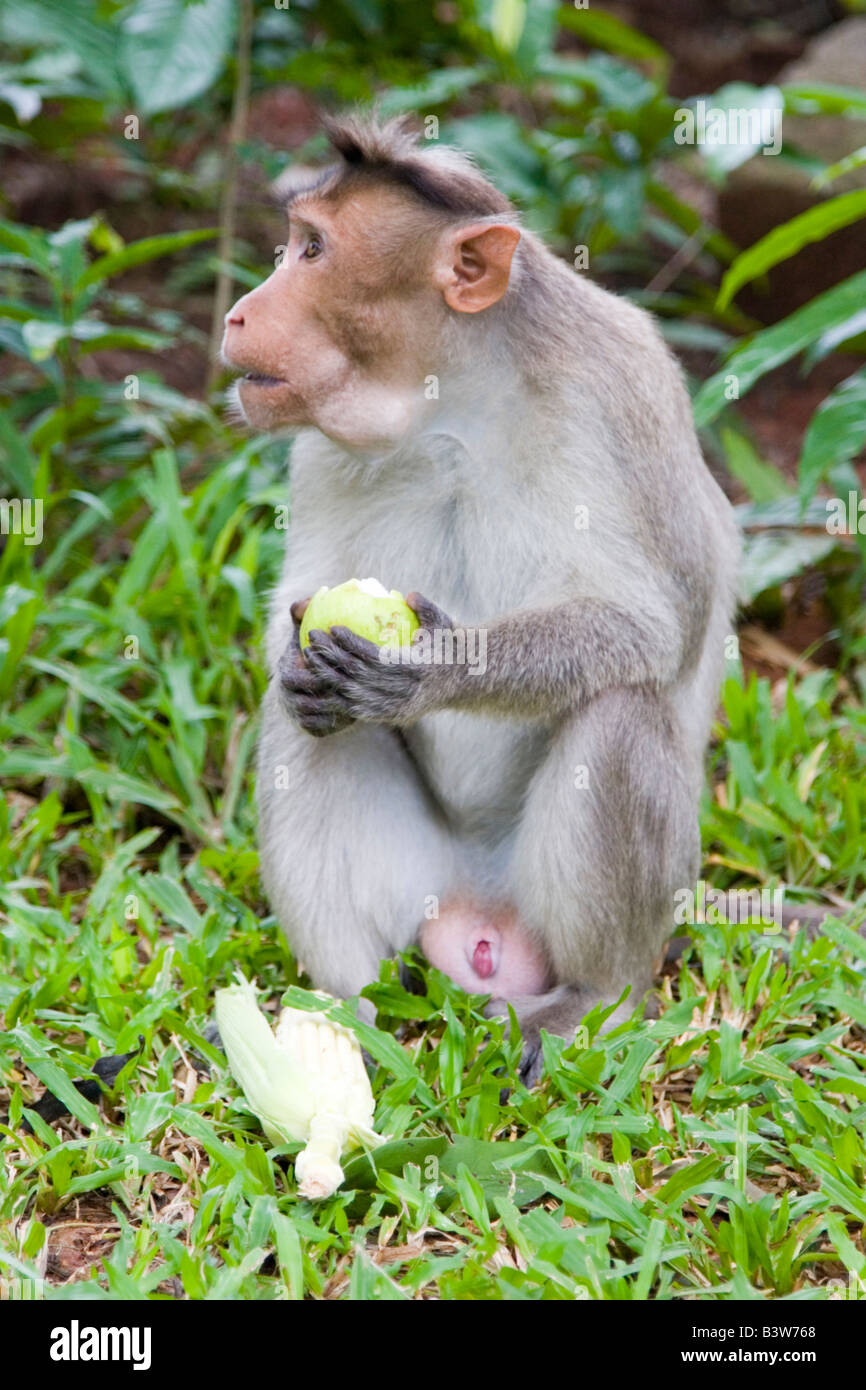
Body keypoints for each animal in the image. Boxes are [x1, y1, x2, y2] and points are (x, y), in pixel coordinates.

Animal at [221, 113, 741, 1083]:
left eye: (311, 250)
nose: (240, 311)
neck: (454, 404)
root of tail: (479, 915)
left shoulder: (625, 390)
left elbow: (655, 628)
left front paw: (434, 668)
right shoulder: (320, 445)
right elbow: (300, 612)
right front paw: (306, 662)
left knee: (621, 710)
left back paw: (597, 999)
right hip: (419, 885)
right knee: (300, 722)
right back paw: (343, 1015)